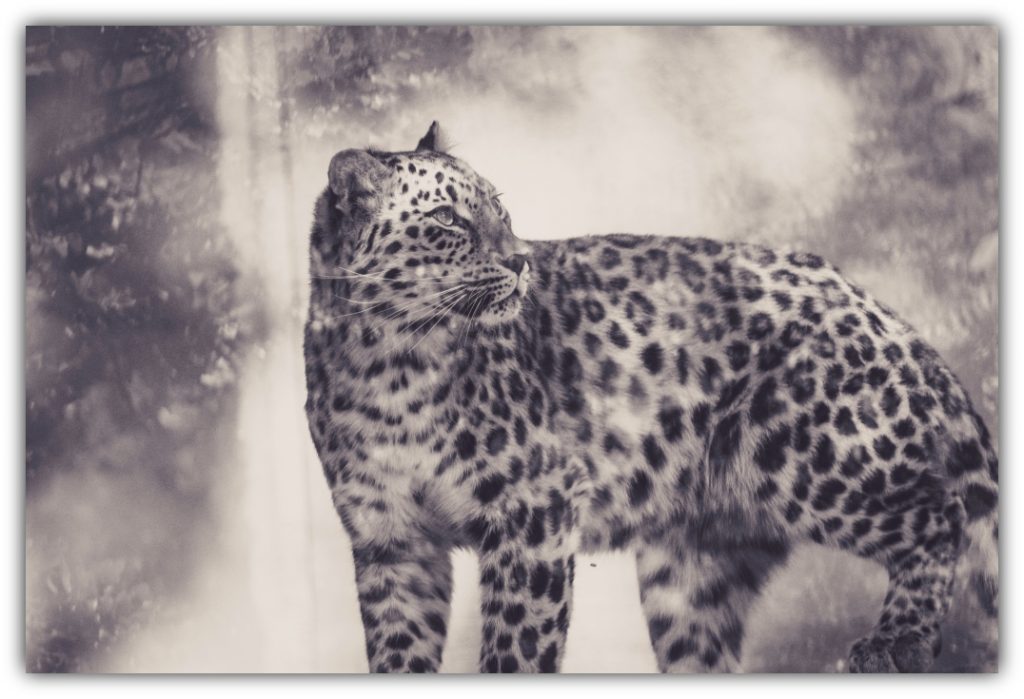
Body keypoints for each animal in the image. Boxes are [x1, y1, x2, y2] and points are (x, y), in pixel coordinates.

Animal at [303, 122, 999, 673]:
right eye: (447, 219)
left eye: (501, 210)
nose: (523, 261)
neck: (386, 361)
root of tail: (874, 305)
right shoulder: (391, 541)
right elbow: (398, 654)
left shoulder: (535, 510)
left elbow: (516, 649)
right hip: (694, 569)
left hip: (809, 455)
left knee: (942, 513)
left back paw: (897, 641)